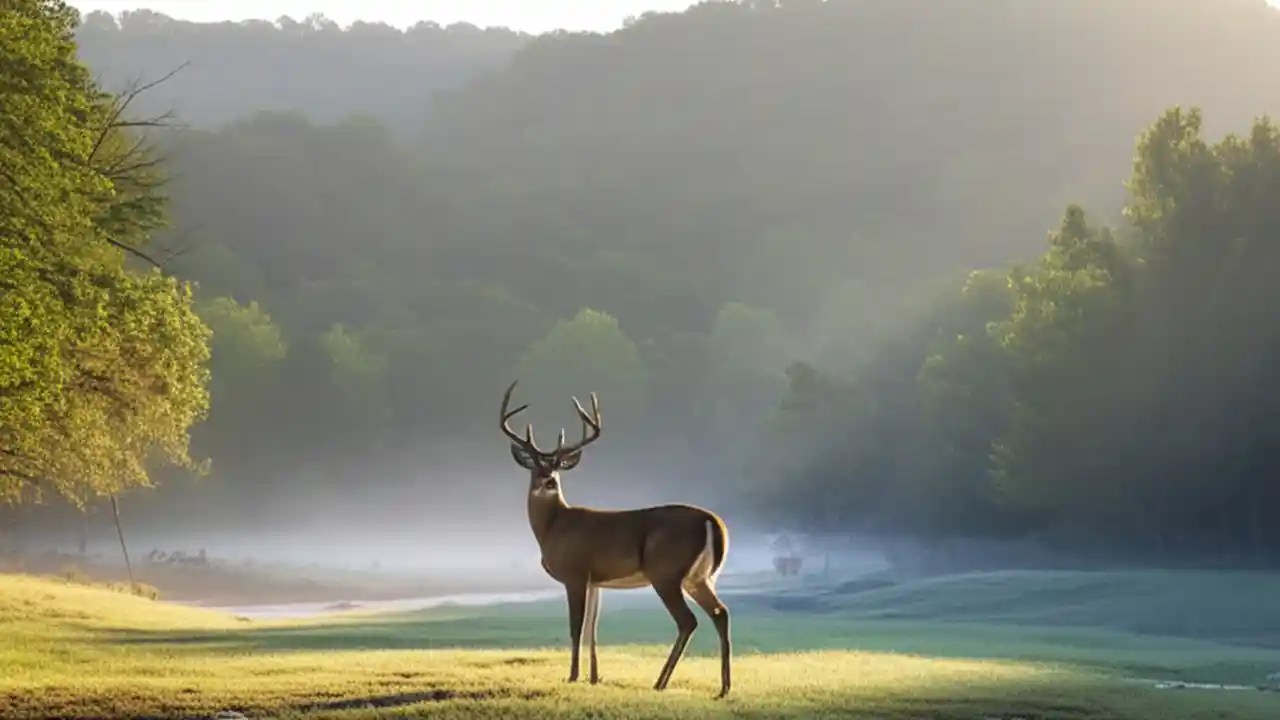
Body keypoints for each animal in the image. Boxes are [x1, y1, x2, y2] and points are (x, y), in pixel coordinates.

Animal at [499, 381, 732, 698]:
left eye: (558, 465)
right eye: (535, 465)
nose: (548, 480)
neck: (552, 527)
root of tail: (713, 522)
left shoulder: (575, 572)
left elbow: (576, 626)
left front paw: (572, 676)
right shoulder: (596, 580)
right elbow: (593, 628)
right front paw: (594, 677)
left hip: (666, 572)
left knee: (688, 620)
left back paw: (661, 682)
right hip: (700, 577)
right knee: (721, 613)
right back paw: (723, 687)